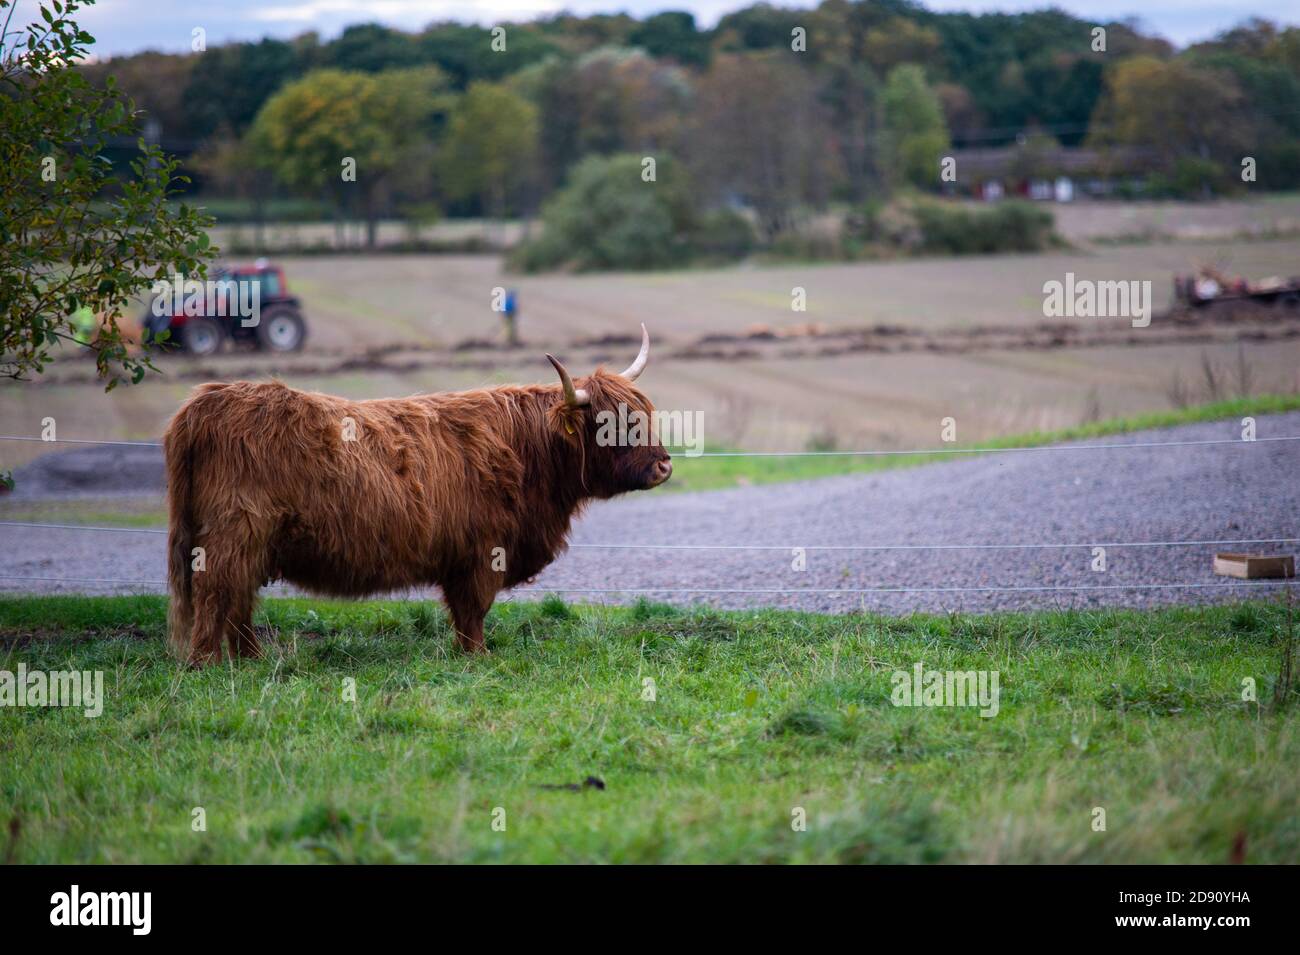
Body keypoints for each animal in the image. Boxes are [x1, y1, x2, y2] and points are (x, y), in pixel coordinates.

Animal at [164, 325, 671, 665]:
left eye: (644, 414)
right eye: (608, 423)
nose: (664, 465)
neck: (531, 453)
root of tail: (206, 401)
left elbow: (467, 613)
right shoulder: (482, 552)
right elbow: (473, 610)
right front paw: (478, 658)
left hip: (250, 541)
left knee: (238, 599)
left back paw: (252, 658)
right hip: (235, 532)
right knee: (217, 593)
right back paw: (207, 664)